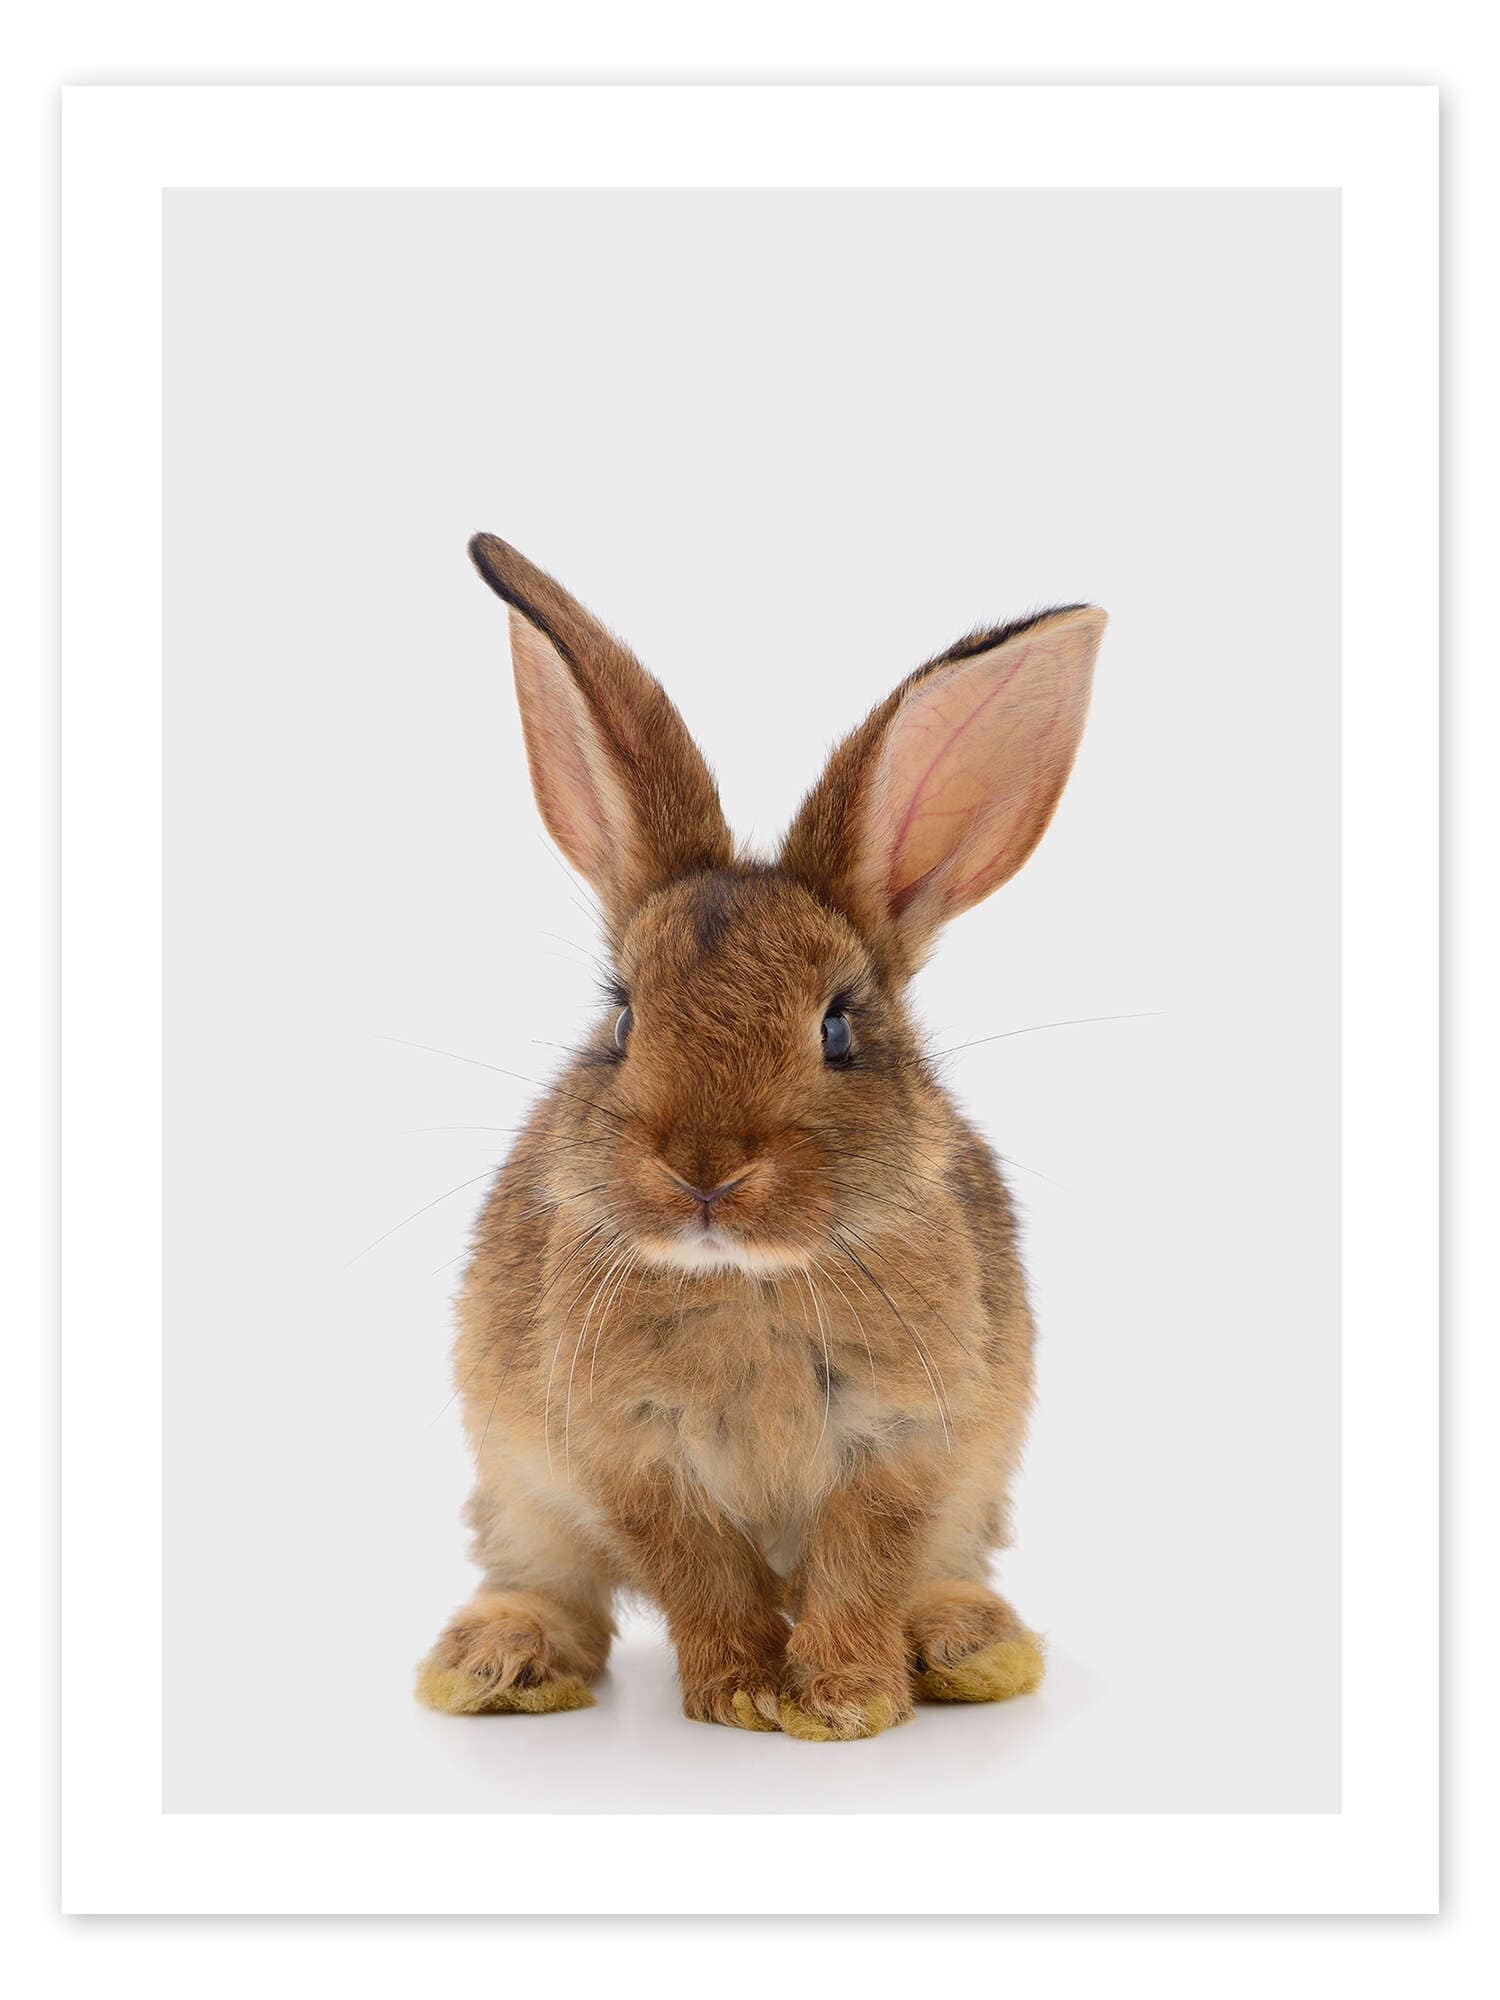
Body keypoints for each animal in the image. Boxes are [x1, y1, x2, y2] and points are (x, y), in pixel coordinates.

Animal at [415, 533, 1106, 1741]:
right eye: (623, 1018)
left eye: (838, 1027)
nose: (704, 1169)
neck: (751, 1278)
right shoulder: (628, 1456)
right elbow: (698, 1574)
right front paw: (741, 1695)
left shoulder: (909, 1444)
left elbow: (861, 1567)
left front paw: (843, 1704)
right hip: (516, 1485)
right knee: (546, 1579)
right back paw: (499, 1662)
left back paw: (968, 1648)